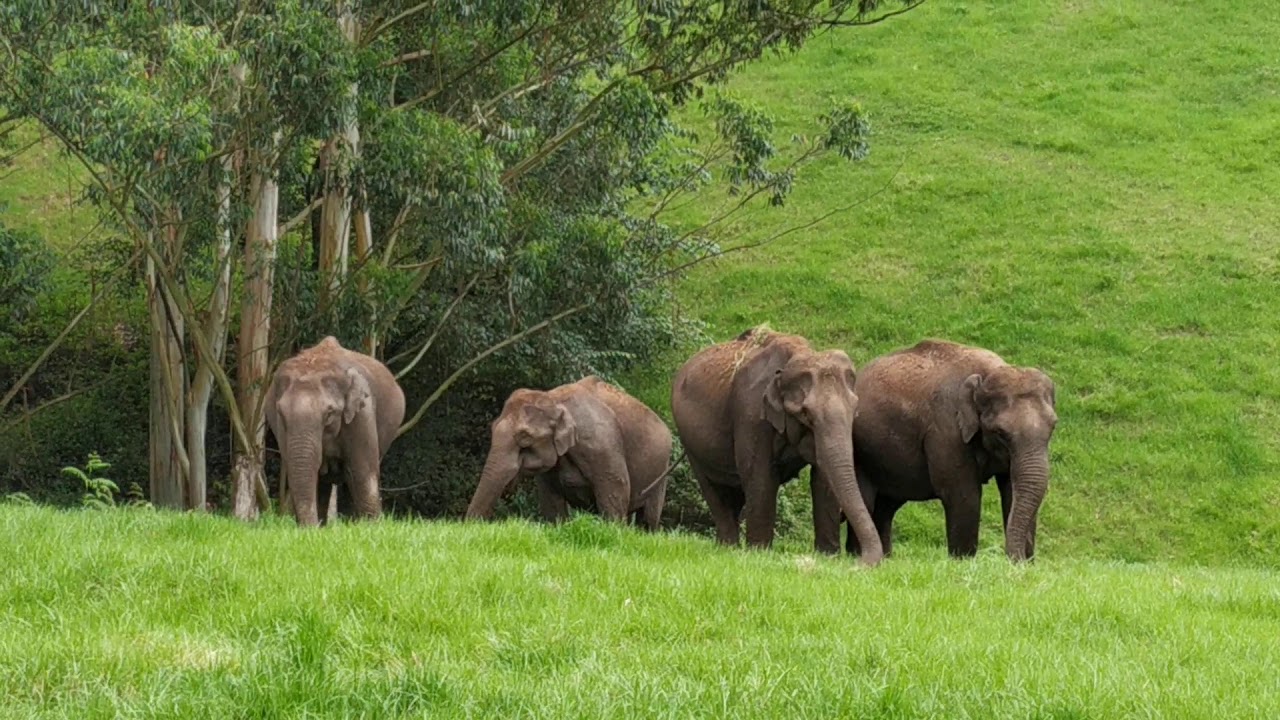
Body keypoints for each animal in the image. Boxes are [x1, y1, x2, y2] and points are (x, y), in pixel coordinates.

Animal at [265, 336, 406, 527]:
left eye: (329, 413)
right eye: (280, 412)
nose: (309, 529)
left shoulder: (362, 413)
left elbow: (362, 471)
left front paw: (372, 527)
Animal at [465, 376, 673, 529]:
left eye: (525, 438)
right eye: (492, 428)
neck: (553, 398)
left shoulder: (602, 445)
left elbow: (616, 489)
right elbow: (550, 500)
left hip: (661, 473)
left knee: (648, 518)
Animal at [670, 326, 884, 566]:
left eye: (855, 410)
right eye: (806, 415)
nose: (859, 562)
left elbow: (823, 480)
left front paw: (828, 557)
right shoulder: (751, 414)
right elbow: (761, 478)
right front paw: (759, 554)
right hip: (690, 444)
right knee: (714, 491)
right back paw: (728, 547)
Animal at [821, 339, 1057, 562]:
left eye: (1053, 425)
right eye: (1000, 432)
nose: (1016, 559)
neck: (989, 372)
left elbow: (1012, 491)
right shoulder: (946, 429)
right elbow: (964, 495)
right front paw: (963, 562)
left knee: (885, 508)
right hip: (862, 454)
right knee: (869, 502)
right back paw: (860, 556)